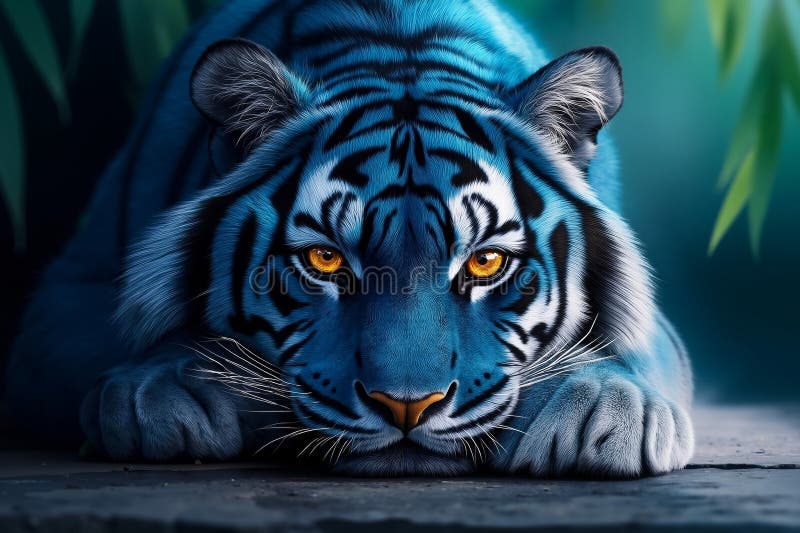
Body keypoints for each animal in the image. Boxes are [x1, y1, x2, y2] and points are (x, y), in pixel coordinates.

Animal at [4, 0, 694, 477]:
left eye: (486, 262)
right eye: (325, 259)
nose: (407, 406)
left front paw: (605, 410)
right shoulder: (61, 302)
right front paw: (162, 391)